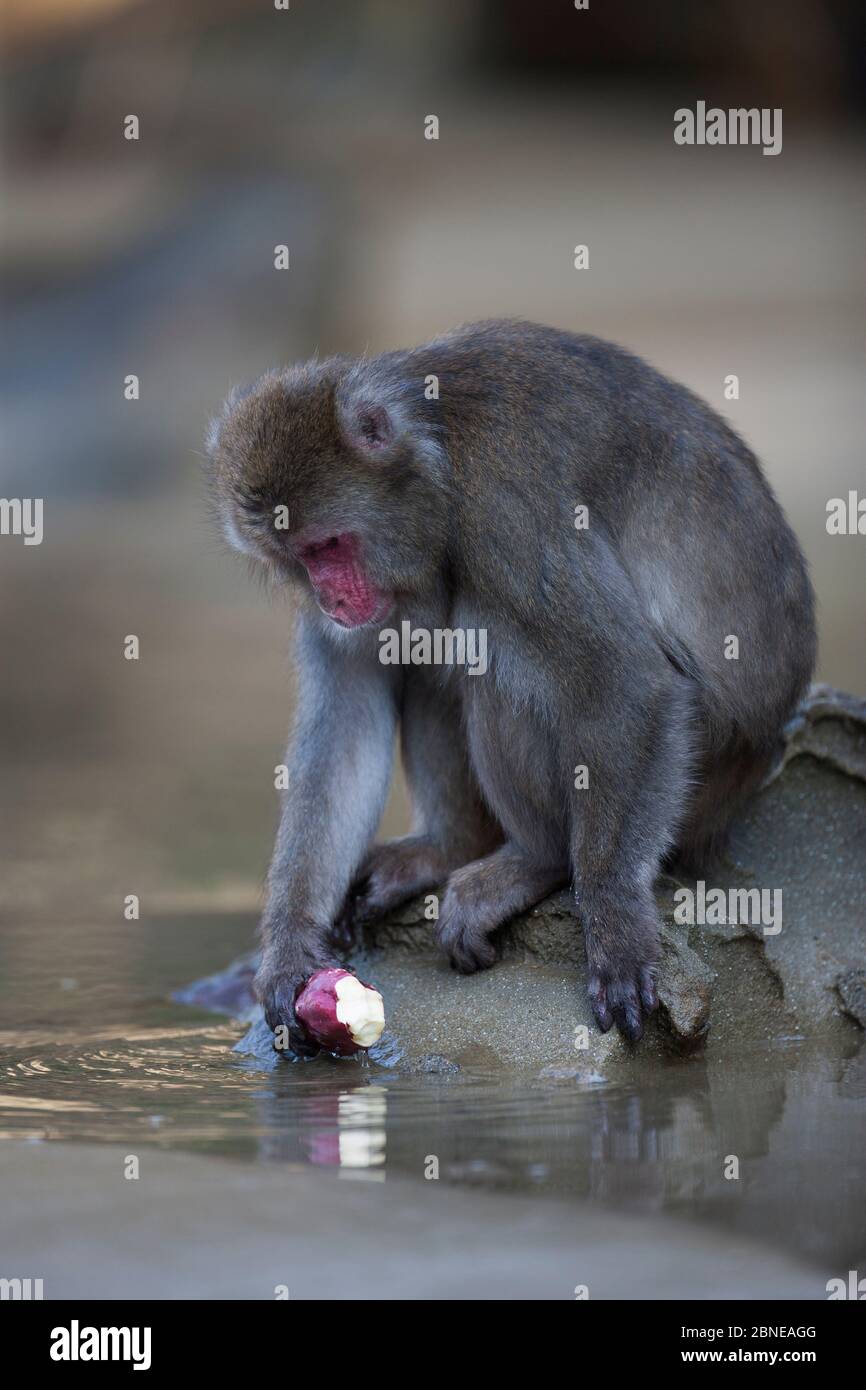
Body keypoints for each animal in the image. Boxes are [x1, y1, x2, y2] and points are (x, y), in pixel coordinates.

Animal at [206, 319, 815, 1052]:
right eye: (294, 559)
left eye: (329, 547)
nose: (331, 600)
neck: (439, 460)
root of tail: (766, 750)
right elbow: (346, 727)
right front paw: (290, 949)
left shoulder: (511, 508)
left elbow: (627, 684)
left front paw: (614, 919)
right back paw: (449, 846)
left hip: (705, 784)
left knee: (491, 630)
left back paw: (539, 860)